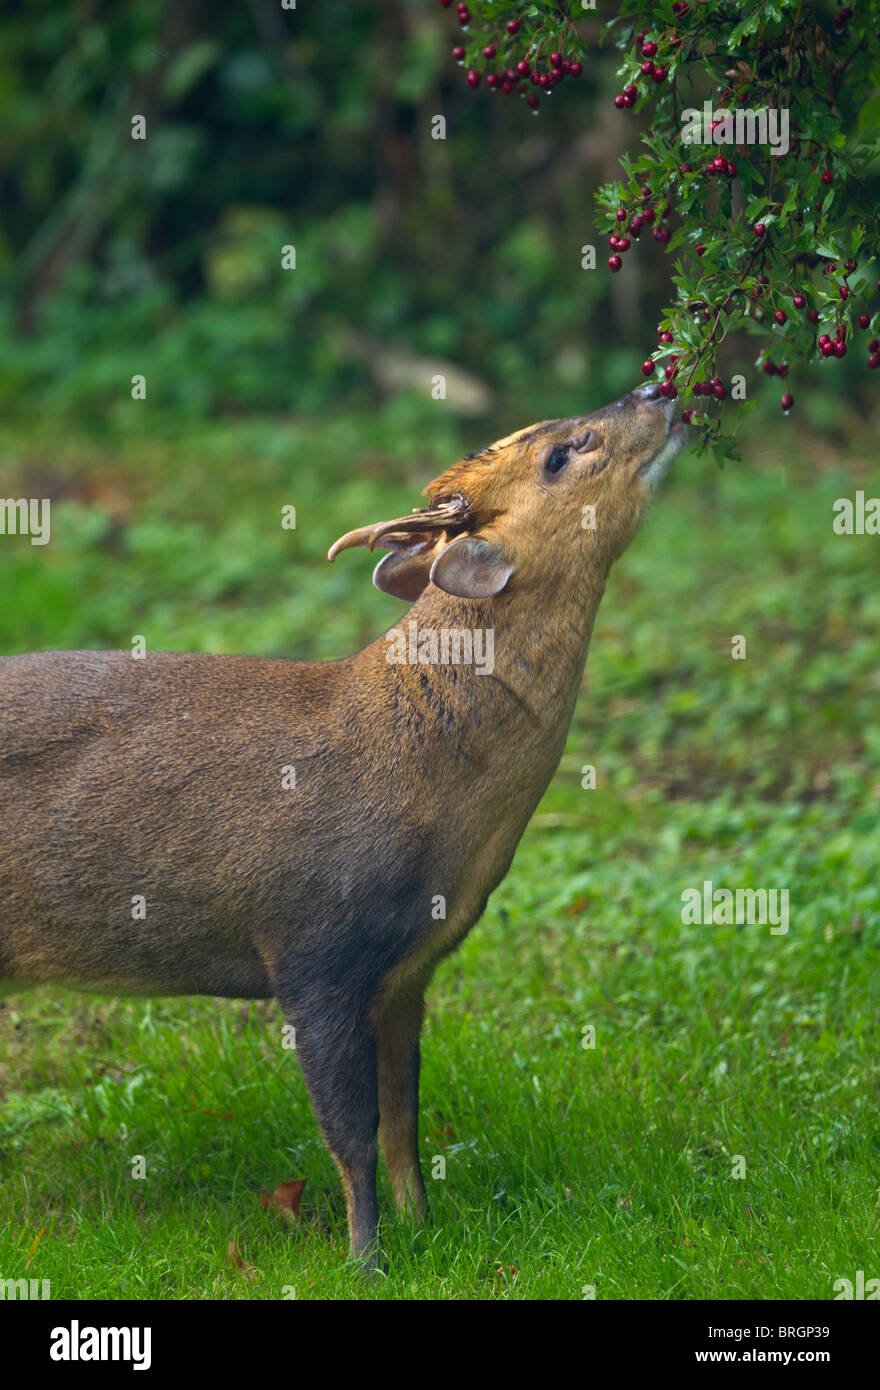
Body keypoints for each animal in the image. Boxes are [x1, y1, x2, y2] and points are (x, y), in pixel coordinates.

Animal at [0, 382, 685, 1268]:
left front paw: (425, 1225)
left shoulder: (408, 971)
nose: (657, 389)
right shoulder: (310, 948)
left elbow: (403, 1125)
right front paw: (367, 1258)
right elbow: (350, 1136)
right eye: (561, 452)